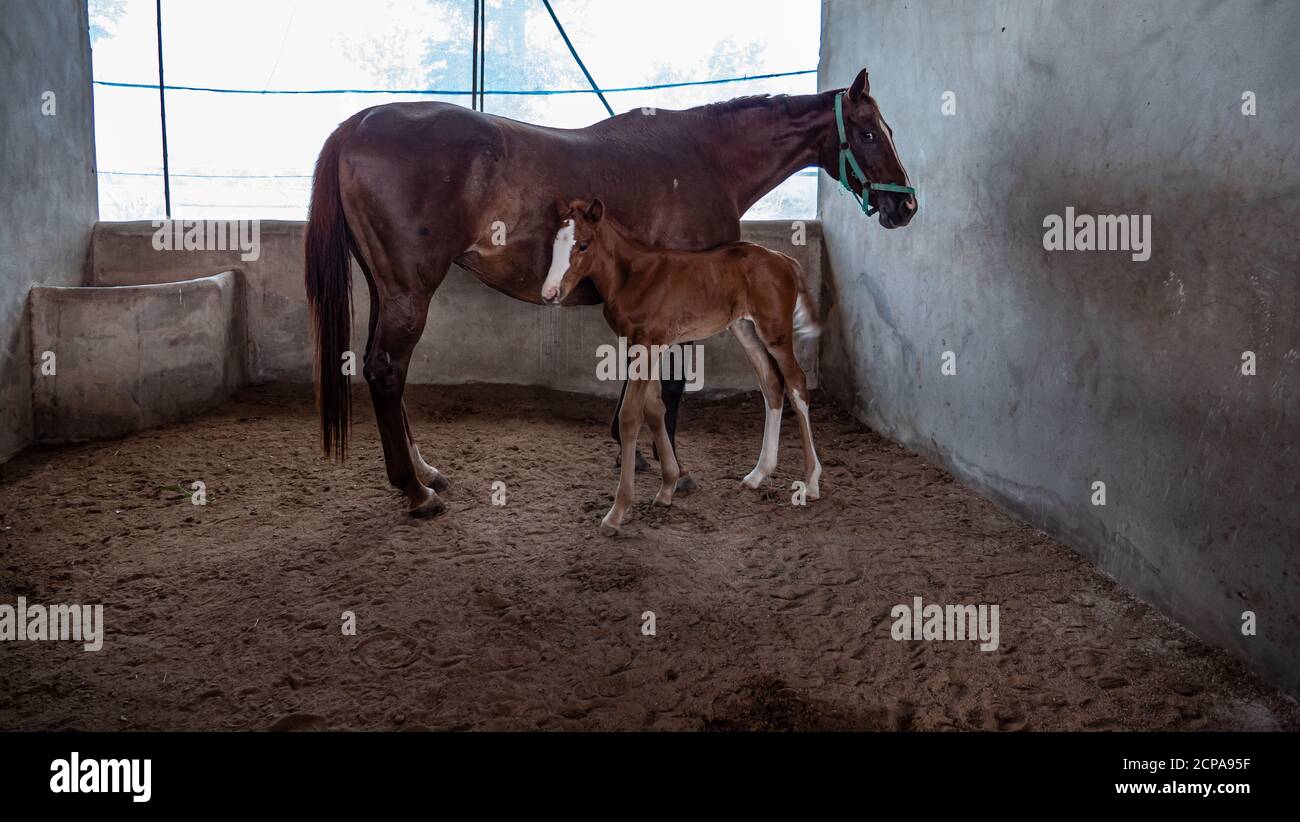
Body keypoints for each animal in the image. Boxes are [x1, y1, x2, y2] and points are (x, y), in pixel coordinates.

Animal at [544, 198, 823, 535]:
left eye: (583, 245)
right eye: (554, 243)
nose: (550, 293)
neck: (633, 277)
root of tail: (784, 258)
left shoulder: (646, 345)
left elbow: (630, 416)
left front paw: (617, 511)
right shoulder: (641, 346)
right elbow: (654, 409)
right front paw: (667, 487)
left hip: (775, 332)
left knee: (796, 382)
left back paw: (811, 482)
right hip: (745, 329)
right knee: (771, 384)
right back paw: (758, 474)